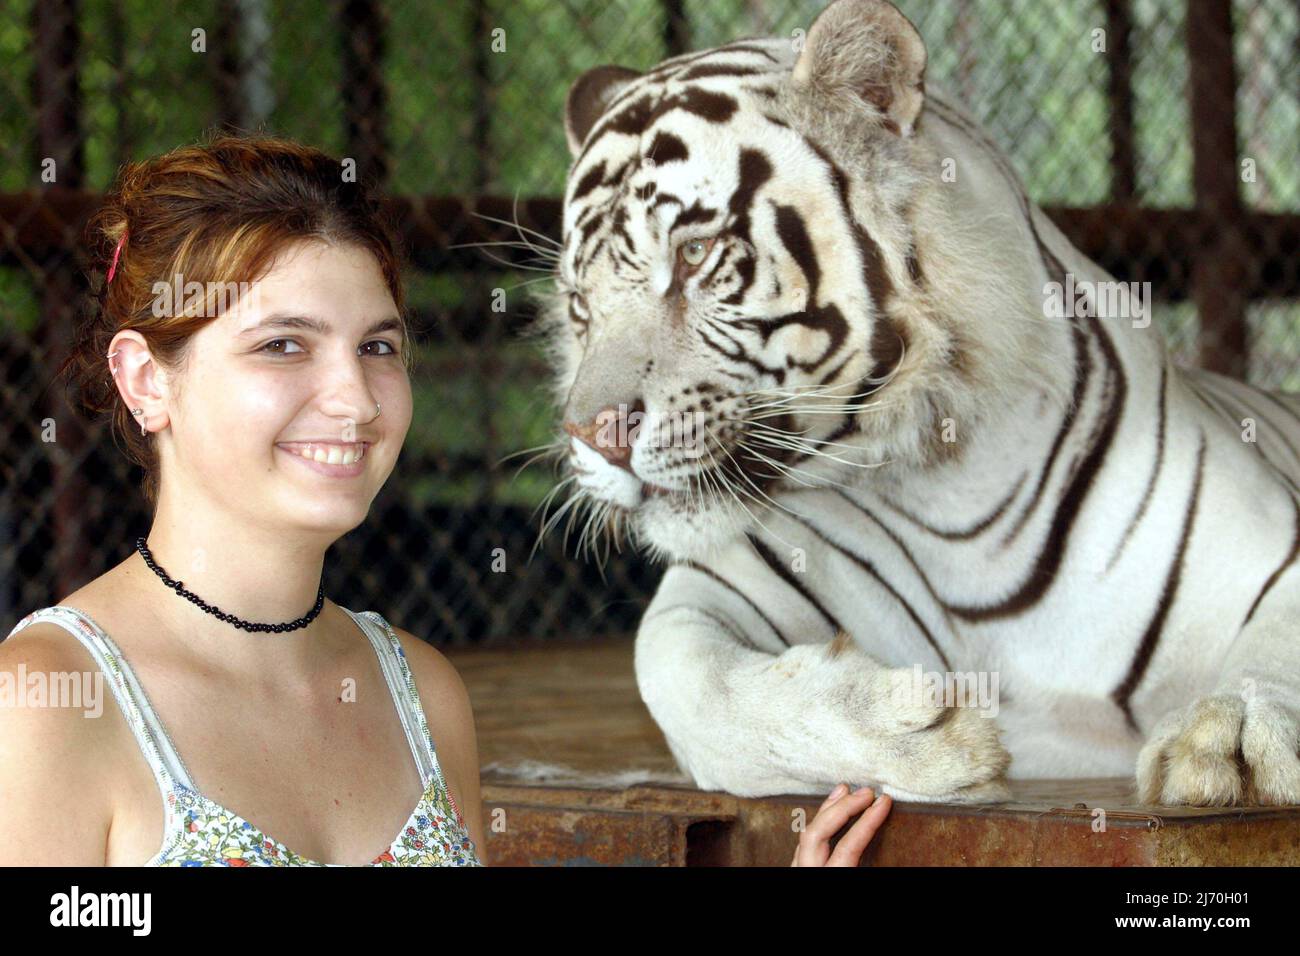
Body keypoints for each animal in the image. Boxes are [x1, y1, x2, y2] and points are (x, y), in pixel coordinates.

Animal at [533, 0, 1300, 806]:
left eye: (693, 254)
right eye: (579, 303)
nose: (592, 435)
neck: (948, 492)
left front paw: (1232, 738)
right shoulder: (712, 586)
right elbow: (678, 675)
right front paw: (918, 733)